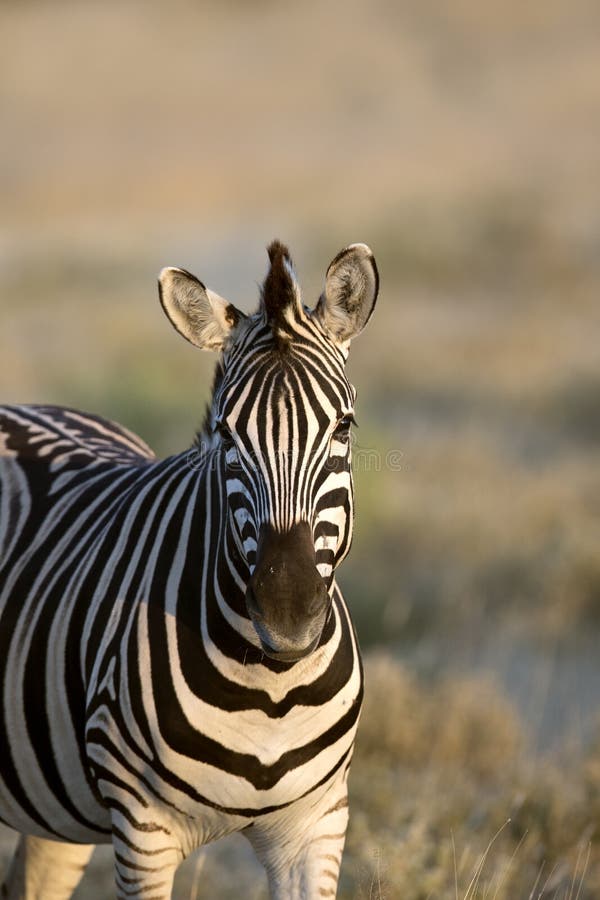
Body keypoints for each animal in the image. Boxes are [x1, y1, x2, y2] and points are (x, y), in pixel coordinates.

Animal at [0, 239, 379, 899]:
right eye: (226, 433)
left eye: (344, 426)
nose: (287, 615)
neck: (272, 690)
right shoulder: (143, 832)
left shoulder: (317, 824)